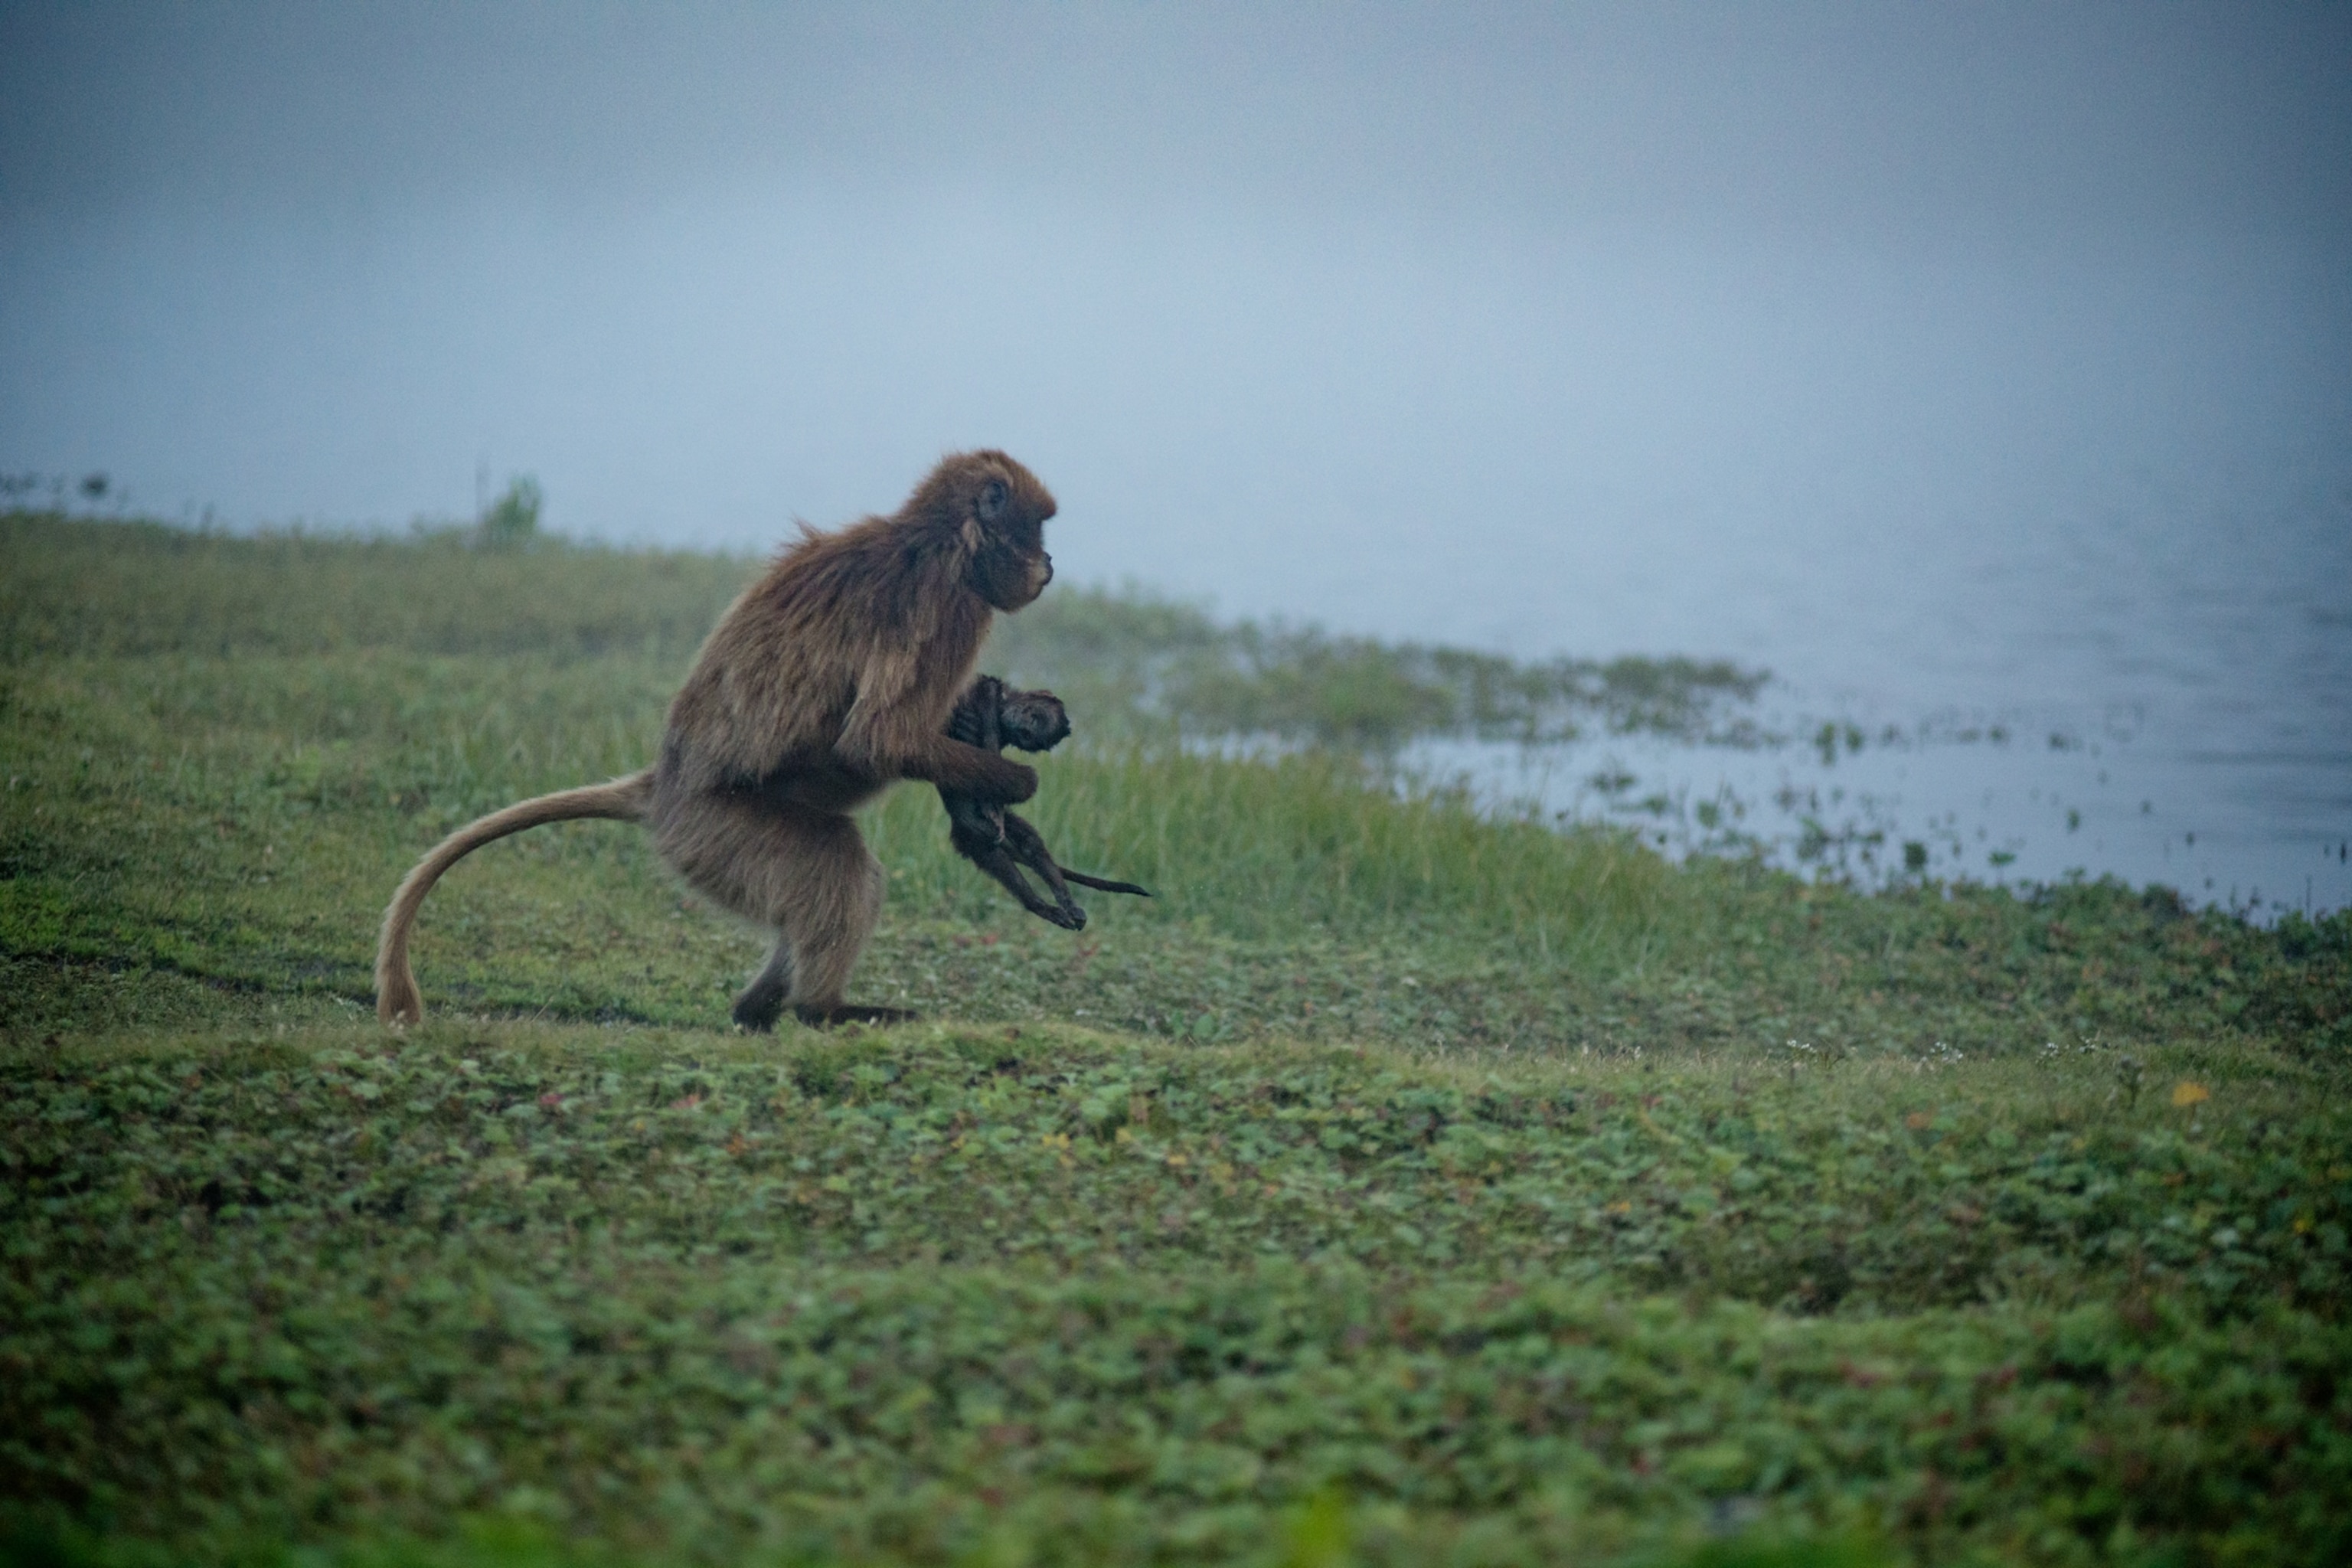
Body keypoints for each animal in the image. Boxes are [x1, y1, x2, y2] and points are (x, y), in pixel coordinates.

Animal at [374, 450, 1057, 1031]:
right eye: (1040, 527)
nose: (1050, 567)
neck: (943, 541)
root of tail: (662, 784)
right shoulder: (949, 608)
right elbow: (877, 738)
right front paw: (1016, 783)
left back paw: (758, 1007)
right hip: (716, 833)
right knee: (835, 855)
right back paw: (822, 1009)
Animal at [939, 675, 1152, 930]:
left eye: (1028, 736)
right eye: (1032, 716)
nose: (1023, 727)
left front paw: (994, 810)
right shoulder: (989, 695)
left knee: (1026, 843)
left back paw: (1056, 904)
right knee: (989, 844)